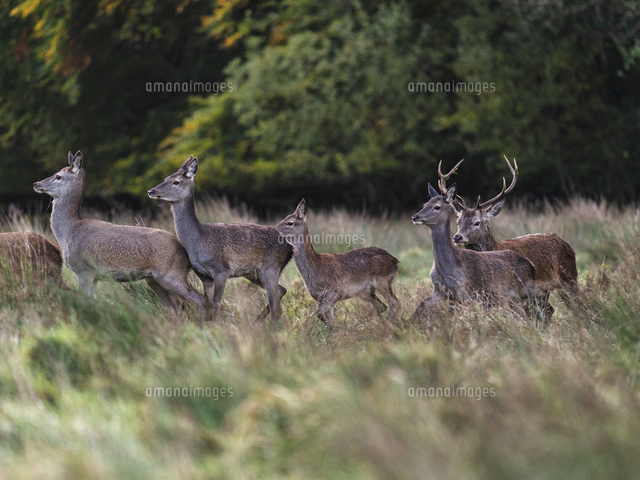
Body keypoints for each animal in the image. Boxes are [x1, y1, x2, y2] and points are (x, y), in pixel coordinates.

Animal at [33, 151, 207, 319]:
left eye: (58, 176)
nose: (36, 184)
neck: (69, 232)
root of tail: (183, 250)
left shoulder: (84, 269)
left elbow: (85, 302)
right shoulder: (95, 276)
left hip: (171, 274)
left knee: (200, 300)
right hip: (154, 279)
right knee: (177, 308)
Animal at [147, 156, 293, 323]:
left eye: (176, 181)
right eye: (165, 178)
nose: (151, 191)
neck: (197, 240)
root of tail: (290, 248)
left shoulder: (222, 270)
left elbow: (216, 304)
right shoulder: (204, 276)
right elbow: (209, 304)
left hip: (271, 267)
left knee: (277, 308)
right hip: (253, 272)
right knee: (282, 290)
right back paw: (256, 323)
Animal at [274, 199, 400, 329]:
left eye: (290, 223)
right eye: (282, 219)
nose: (274, 229)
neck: (314, 267)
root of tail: (395, 260)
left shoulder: (337, 289)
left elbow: (319, 312)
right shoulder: (321, 296)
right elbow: (327, 318)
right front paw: (334, 331)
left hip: (382, 279)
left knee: (395, 303)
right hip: (365, 290)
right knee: (381, 306)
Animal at [411, 160, 541, 319]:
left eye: (437, 207)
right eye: (424, 204)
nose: (415, 217)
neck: (449, 269)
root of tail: (530, 265)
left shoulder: (468, 292)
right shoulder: (439, 292)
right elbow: (420, 307)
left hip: (520, 290)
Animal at [451, 155, 579, 320]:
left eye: (476, 222)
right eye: (458, 222)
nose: (457, 237)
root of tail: (567, 245)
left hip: (568, 277)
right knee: (549, 310)